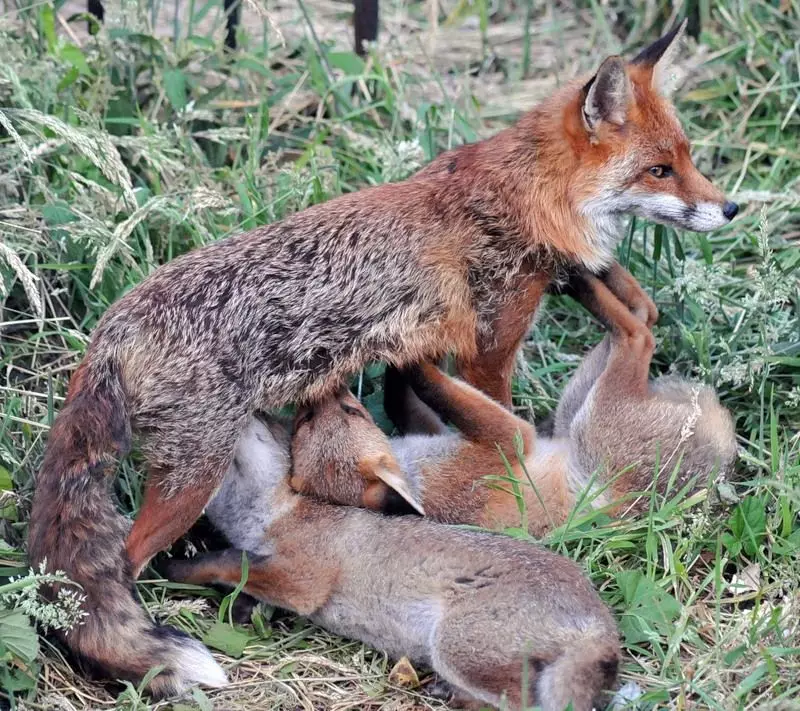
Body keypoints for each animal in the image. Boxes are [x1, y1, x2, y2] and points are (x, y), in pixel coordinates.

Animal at [26, 20, 736, 696]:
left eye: (687, 157)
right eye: (659, 171)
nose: (729, 207)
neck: (523, 197)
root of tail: (114, 326)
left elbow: (634, 303)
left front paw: (591, 274)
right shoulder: (491, 349)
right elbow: (506, 418)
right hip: (189, 480)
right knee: (125, 563)